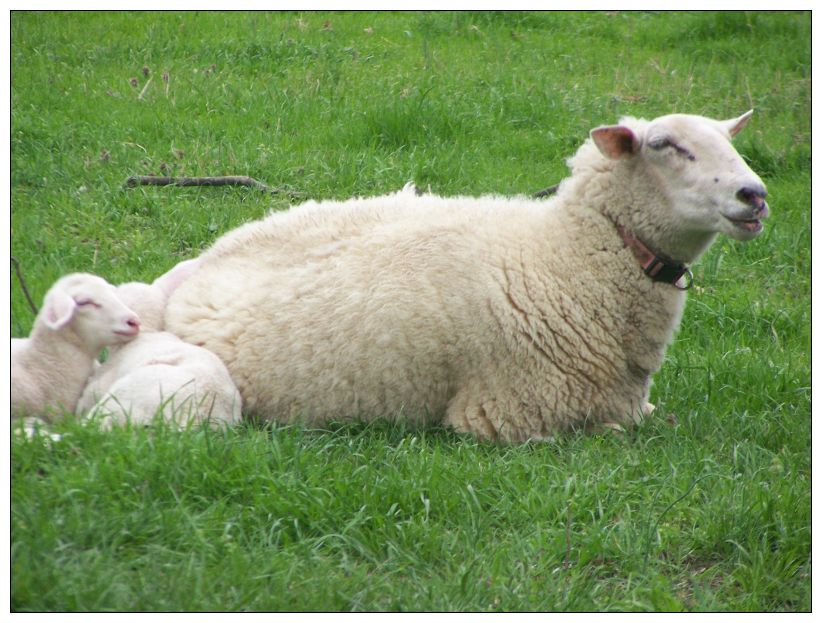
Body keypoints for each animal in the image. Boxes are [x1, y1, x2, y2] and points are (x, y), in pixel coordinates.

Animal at [165, 111, 769, 442]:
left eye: (730, 141)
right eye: (666, 146)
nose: (755, 195)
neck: (566, 256)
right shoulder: (509, 417)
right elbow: (616, 431)